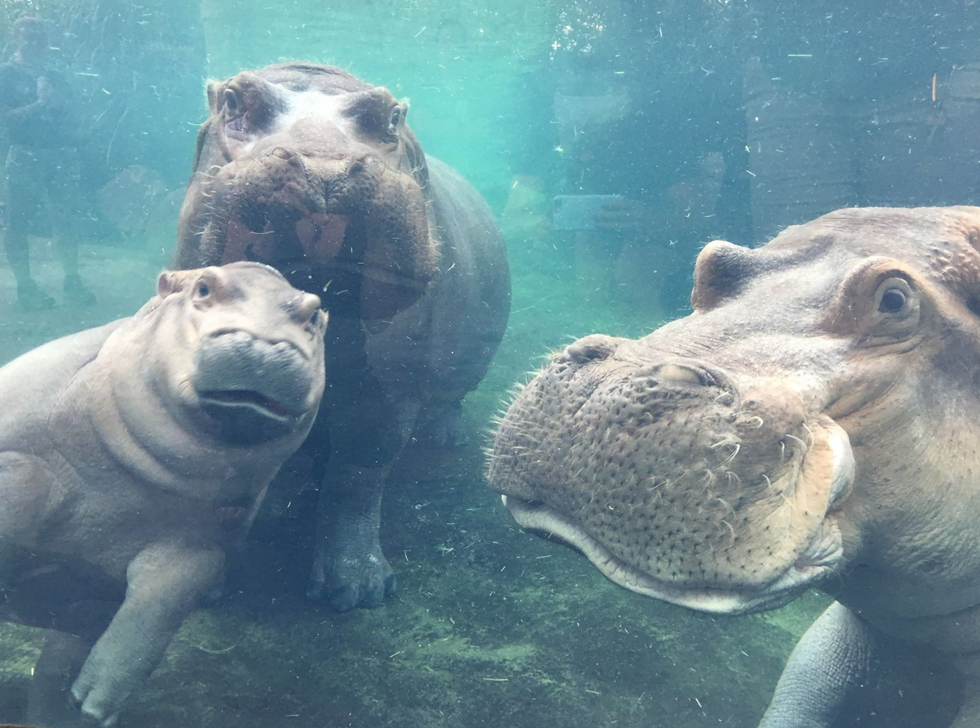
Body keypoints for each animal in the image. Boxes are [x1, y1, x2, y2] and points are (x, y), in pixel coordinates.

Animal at [0, 263, 325, 727]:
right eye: (203, 287)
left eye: (314, 314)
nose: (265, 343)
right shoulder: (23, 455)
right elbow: (27, 479)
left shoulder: (198, 546)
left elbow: (157, 610)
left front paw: (93, 704)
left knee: (52, 672)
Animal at [173, 63, 510, 611]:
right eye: (233, 100)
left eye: (391, 114)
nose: (321, 169)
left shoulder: (387, 388)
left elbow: (358, 475)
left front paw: (356, 591)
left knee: (447, 401)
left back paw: (446, 437)